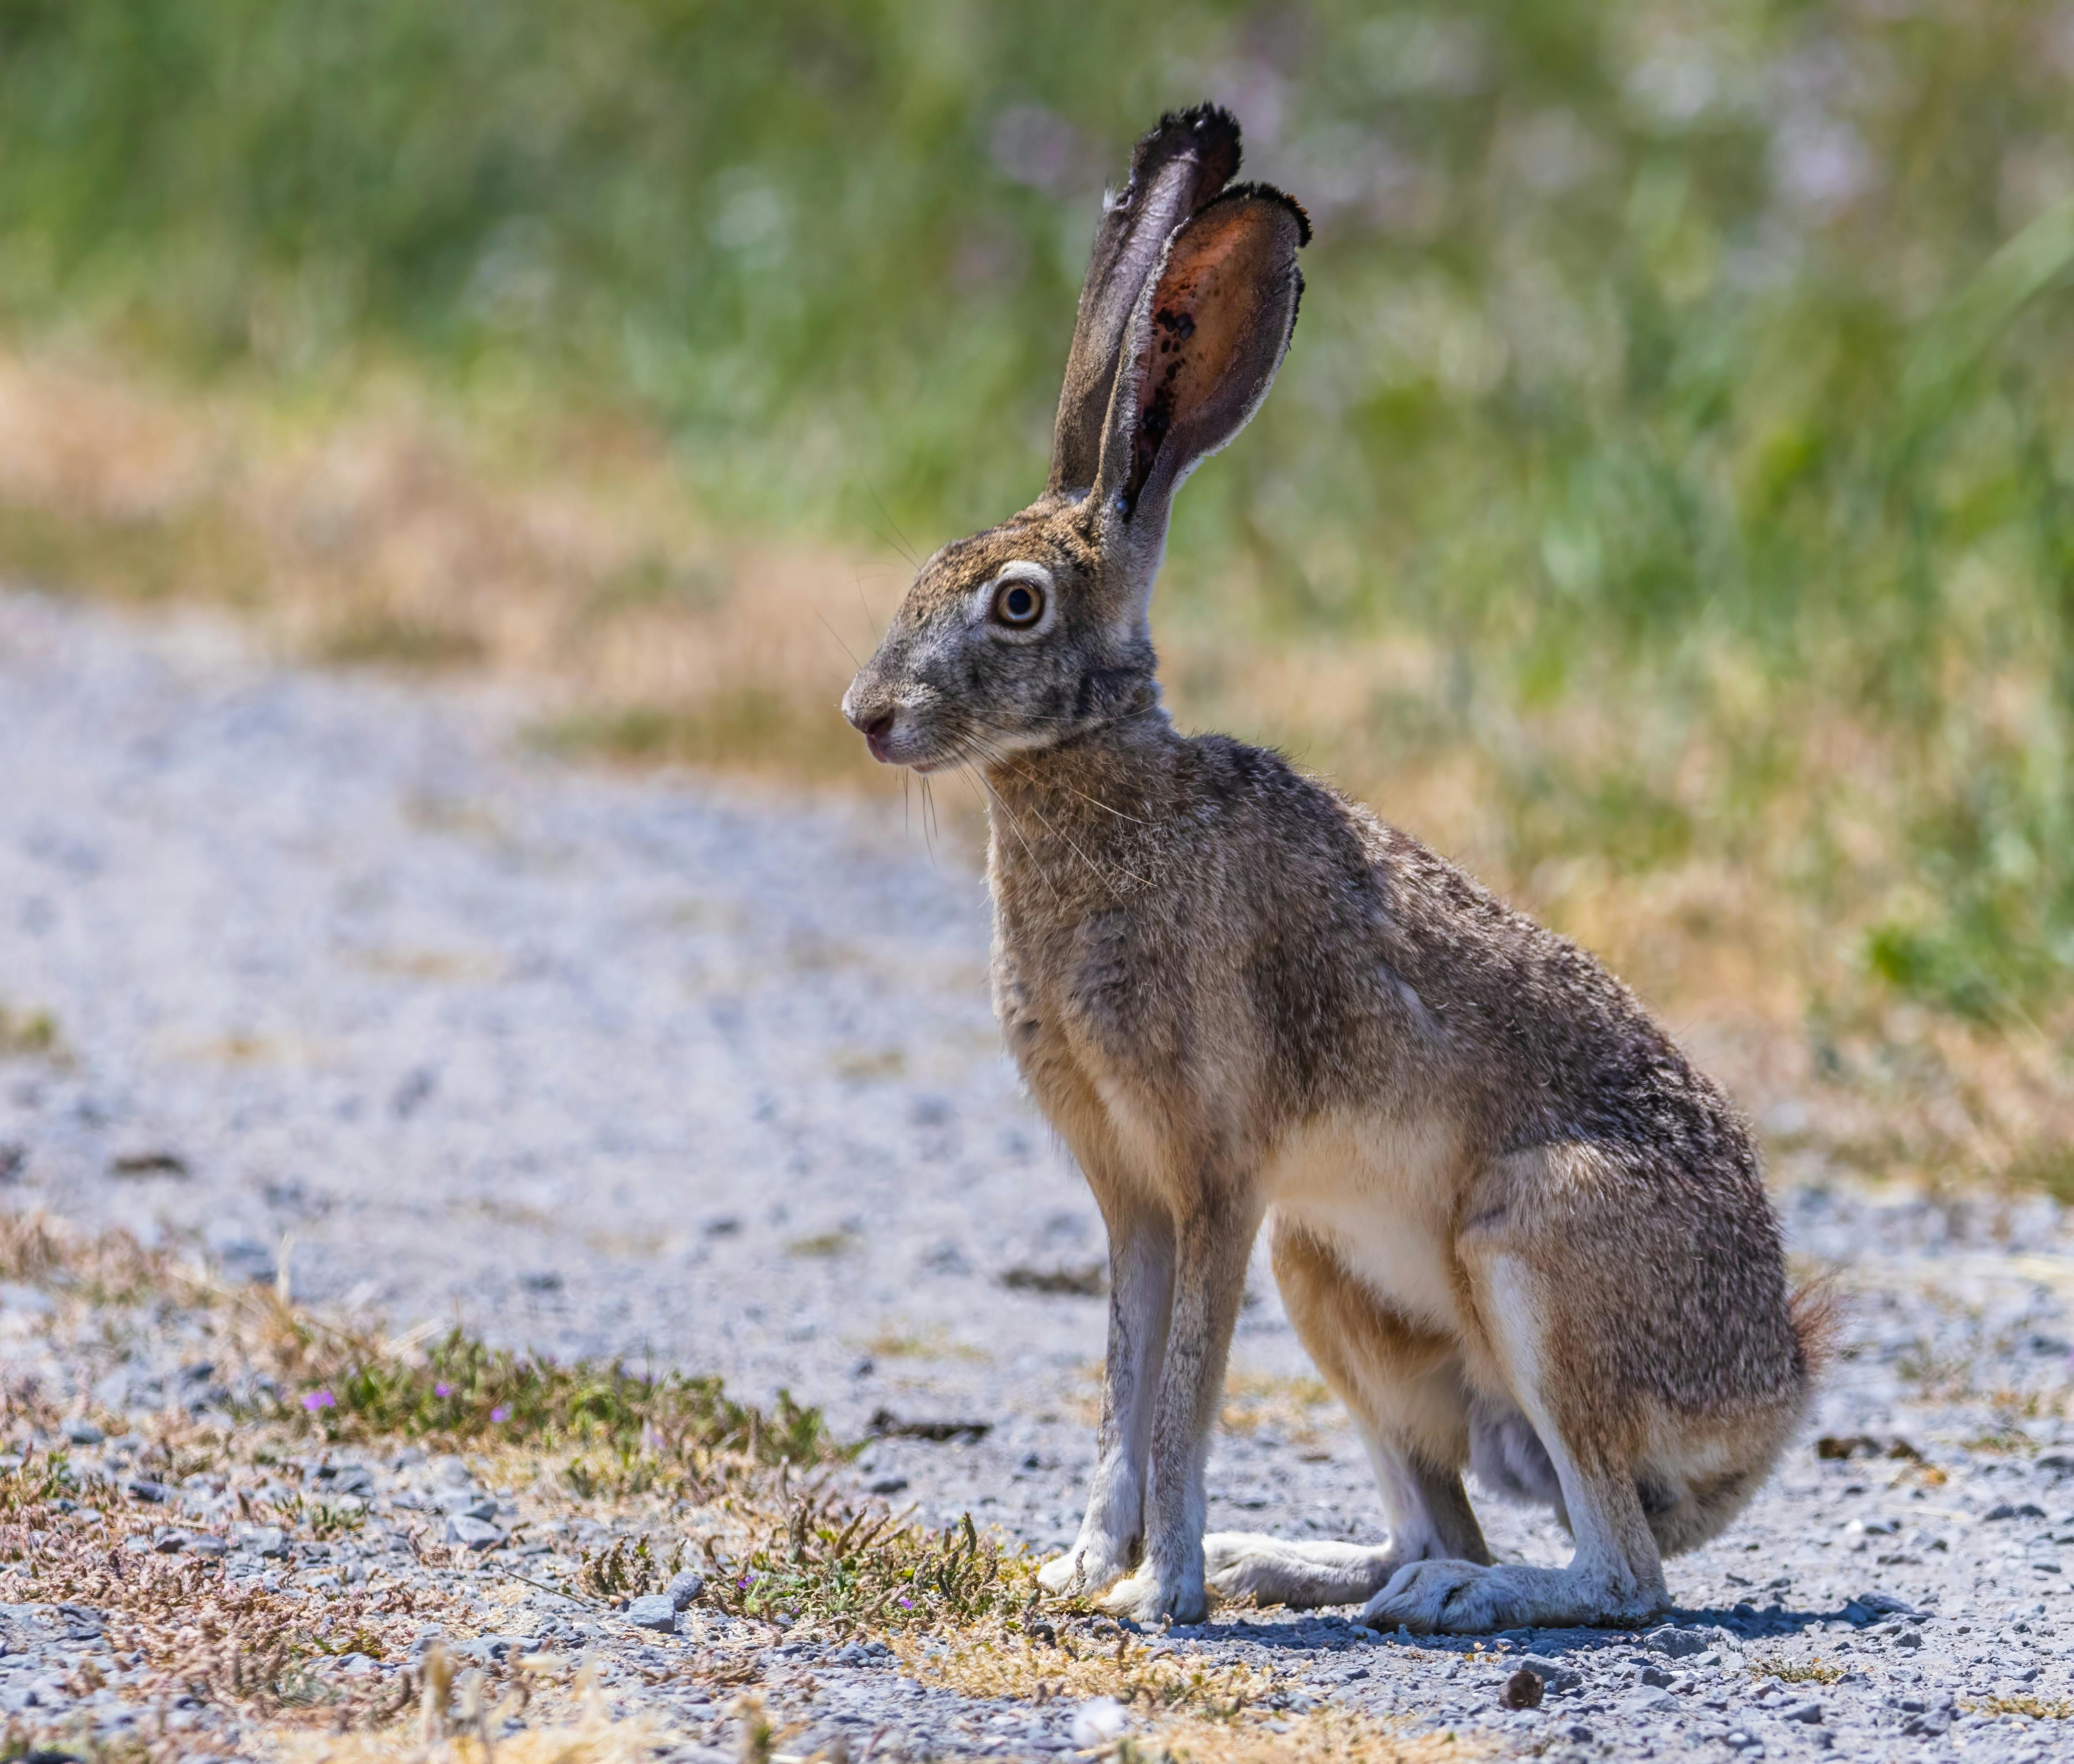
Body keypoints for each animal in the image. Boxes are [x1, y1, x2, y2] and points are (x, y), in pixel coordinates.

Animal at [839, 104, 1829, 1633]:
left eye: (1014, 605)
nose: (868, 717)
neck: (1092, 791)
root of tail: (1768, 1400)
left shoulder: (1215, 1169)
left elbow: (1179, 1397)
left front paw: (1156, 1595)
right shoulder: (1131, 1190)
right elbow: (1122, 1386)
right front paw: (1080, 1574)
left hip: (1531, 1249)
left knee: (1622, 1576)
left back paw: (1451, 1603)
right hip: (1330, 1268)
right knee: (1440, 1518)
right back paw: (1312, 1571)